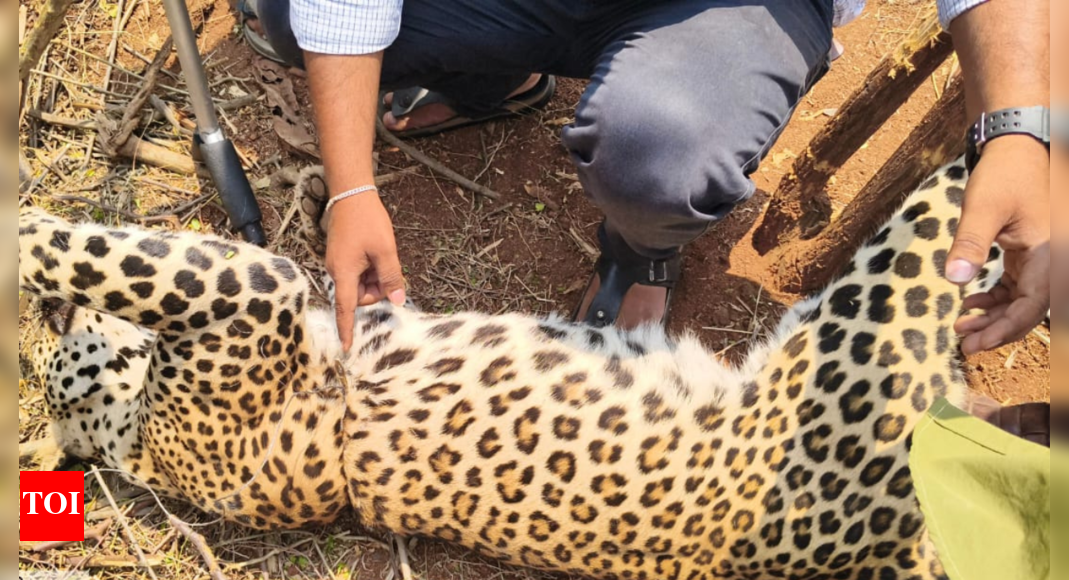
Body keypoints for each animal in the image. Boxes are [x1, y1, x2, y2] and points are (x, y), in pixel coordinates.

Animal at [19, 157, 1008, 580]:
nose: (61, 328)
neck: (136, 437)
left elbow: (97, 255)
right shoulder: (249, 292)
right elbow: (91, 251)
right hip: (870, 326)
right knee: (967, 201)